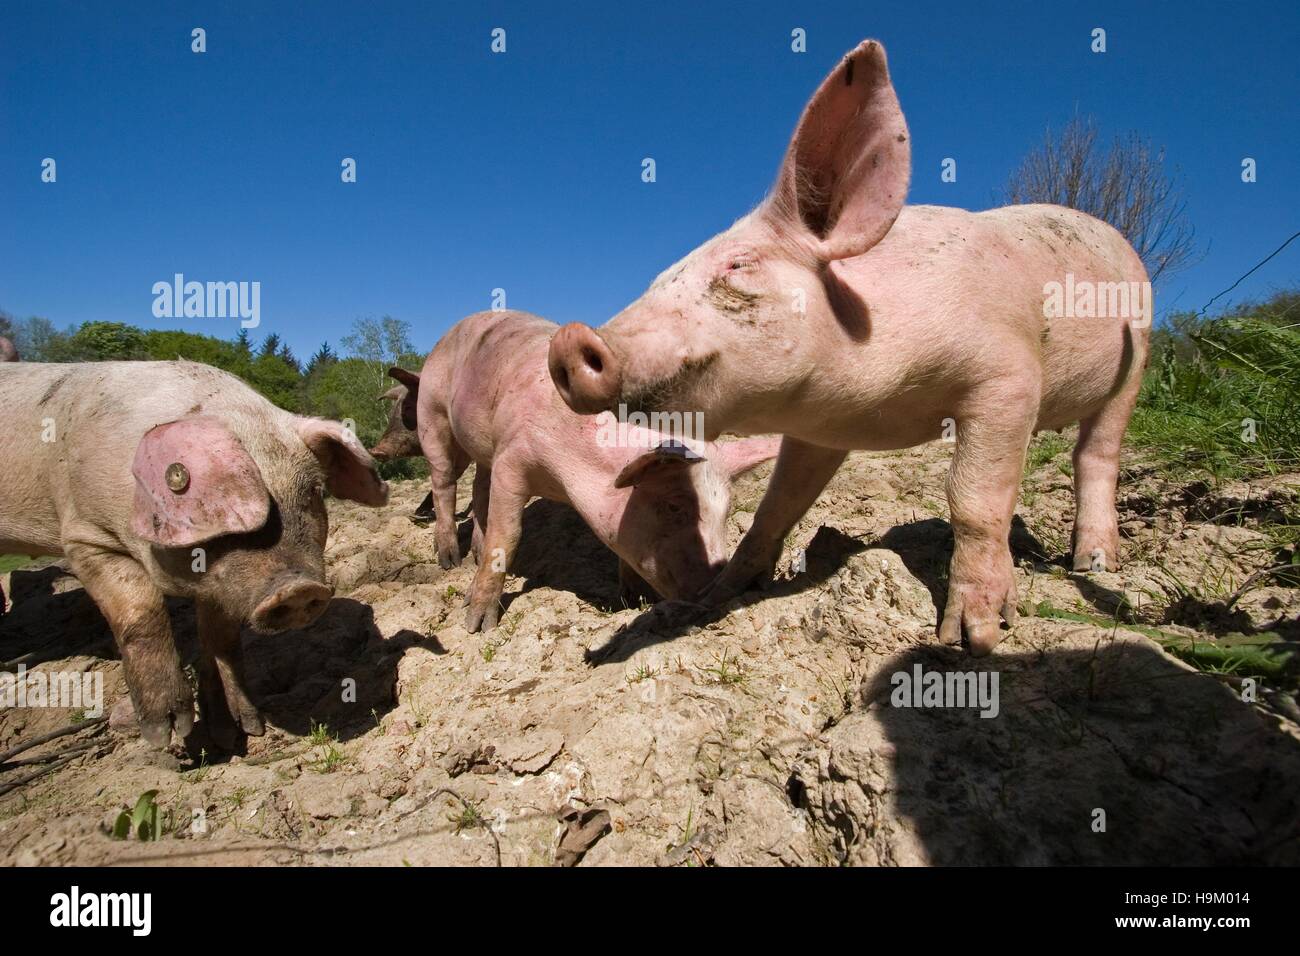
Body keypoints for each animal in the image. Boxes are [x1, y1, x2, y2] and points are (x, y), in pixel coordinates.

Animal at [0, 360, 388, 747]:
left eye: (314, 491)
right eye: (215, 504)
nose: (299, 589)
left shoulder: (221, 583)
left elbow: (222, 639)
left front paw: (242, 731)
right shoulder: (85, 534)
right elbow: (141, 613)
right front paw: (168, 733)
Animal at [414, 310, 779, 632]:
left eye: (726, 511)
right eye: (674, 506)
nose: (711, 597)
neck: (564, 479)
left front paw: (635, 601)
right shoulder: (511, 458)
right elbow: (507, 536)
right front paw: (477, 625)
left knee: (479, 487)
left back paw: (473, 552)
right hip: (430, 411)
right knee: (444, 479)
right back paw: (450, 560)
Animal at [548, 40, 1150, 655]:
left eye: (738, 265)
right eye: (658, 278)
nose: (570, 338)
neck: (877, 408)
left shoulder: (1009, 379)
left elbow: (974, 499)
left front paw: (974, 638)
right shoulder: (817, 433)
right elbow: (778, 505)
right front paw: (722, 592)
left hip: (1136, 356)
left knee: (1096, 453)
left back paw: (1094, 565)